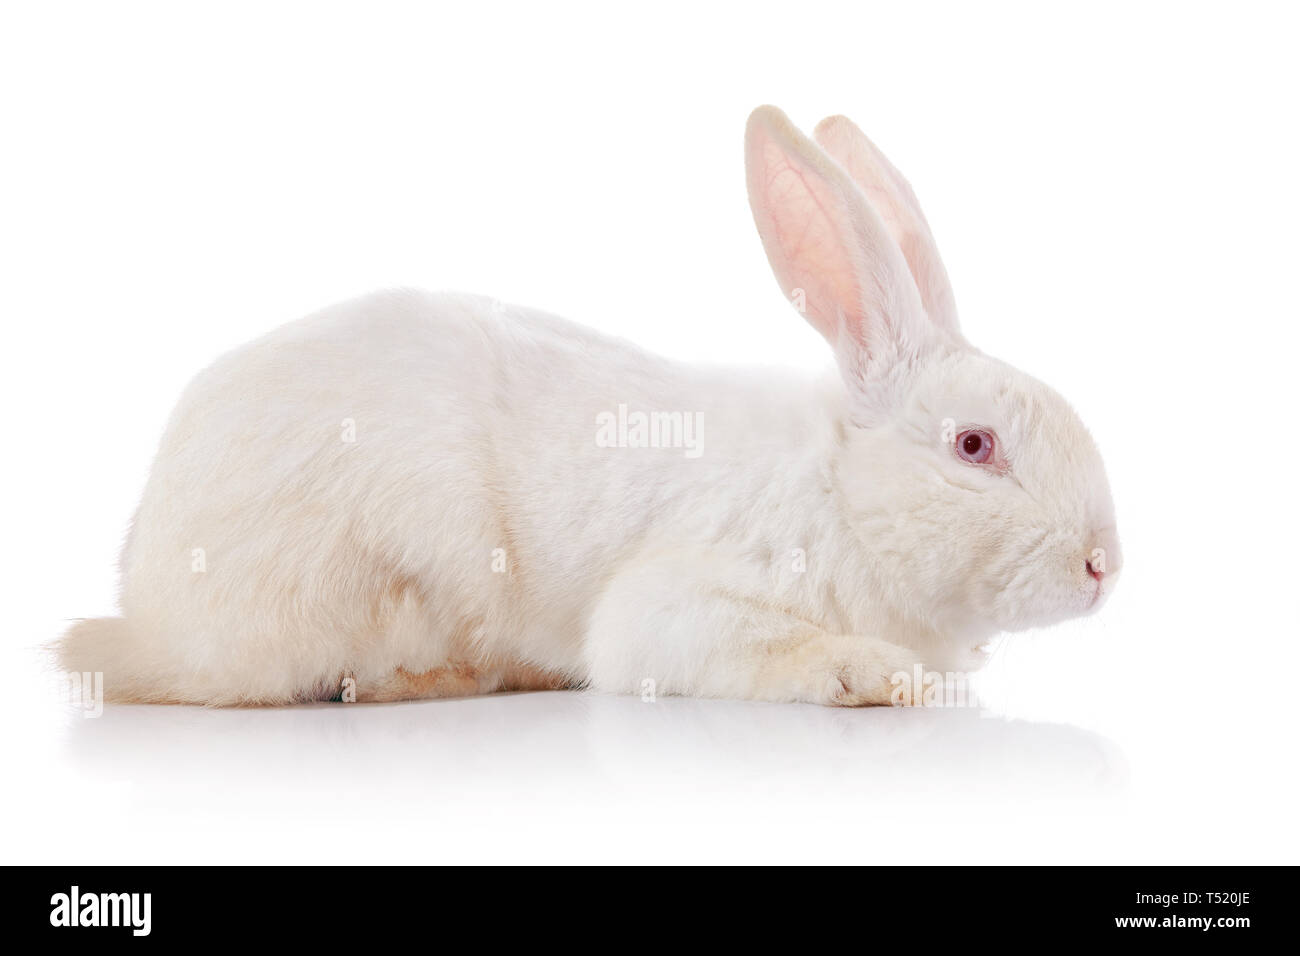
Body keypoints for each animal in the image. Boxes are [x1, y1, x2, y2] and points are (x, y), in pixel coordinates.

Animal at [57, 105, 1120, 707]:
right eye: (974, 446)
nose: (1104, 567)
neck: (846, 494)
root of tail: (148, 608)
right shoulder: (679, 604)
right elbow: (741, 642)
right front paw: (873, 676)